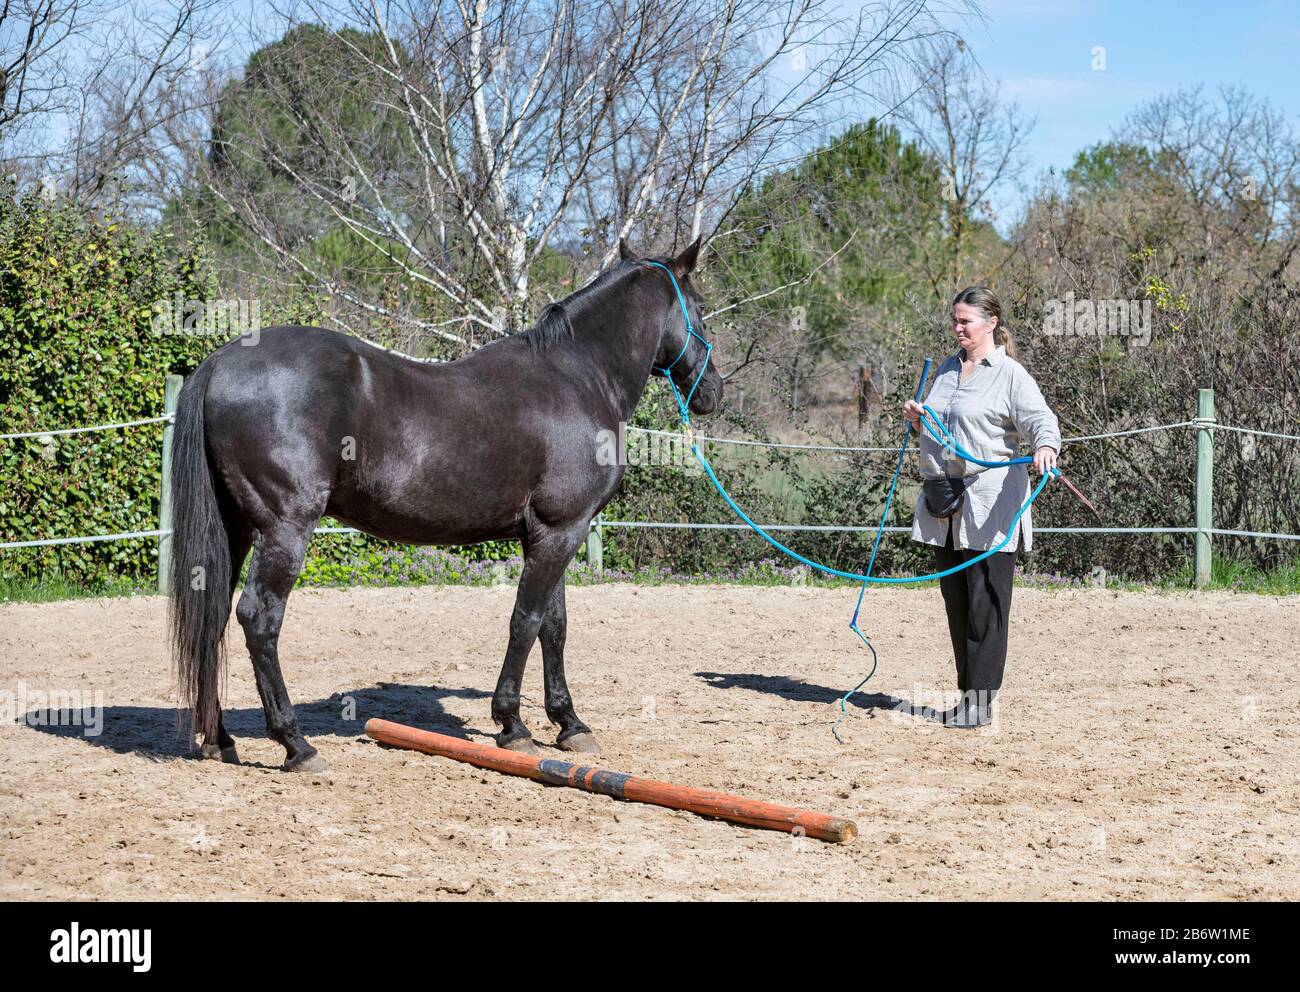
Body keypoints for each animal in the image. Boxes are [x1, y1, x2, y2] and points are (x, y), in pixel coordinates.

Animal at [168, 237, 721, 772]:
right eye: (699, 306)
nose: (712, 391)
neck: (577, 377)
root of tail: (220, 363)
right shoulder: (560, 530)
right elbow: (526, 621)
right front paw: (512, 725)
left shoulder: (552, 533)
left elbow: (554, 627)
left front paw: (569, 724)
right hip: (284, 529)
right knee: (259, 619)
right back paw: (296, 745)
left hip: (236, 529)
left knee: (213, 615)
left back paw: (219, 739)